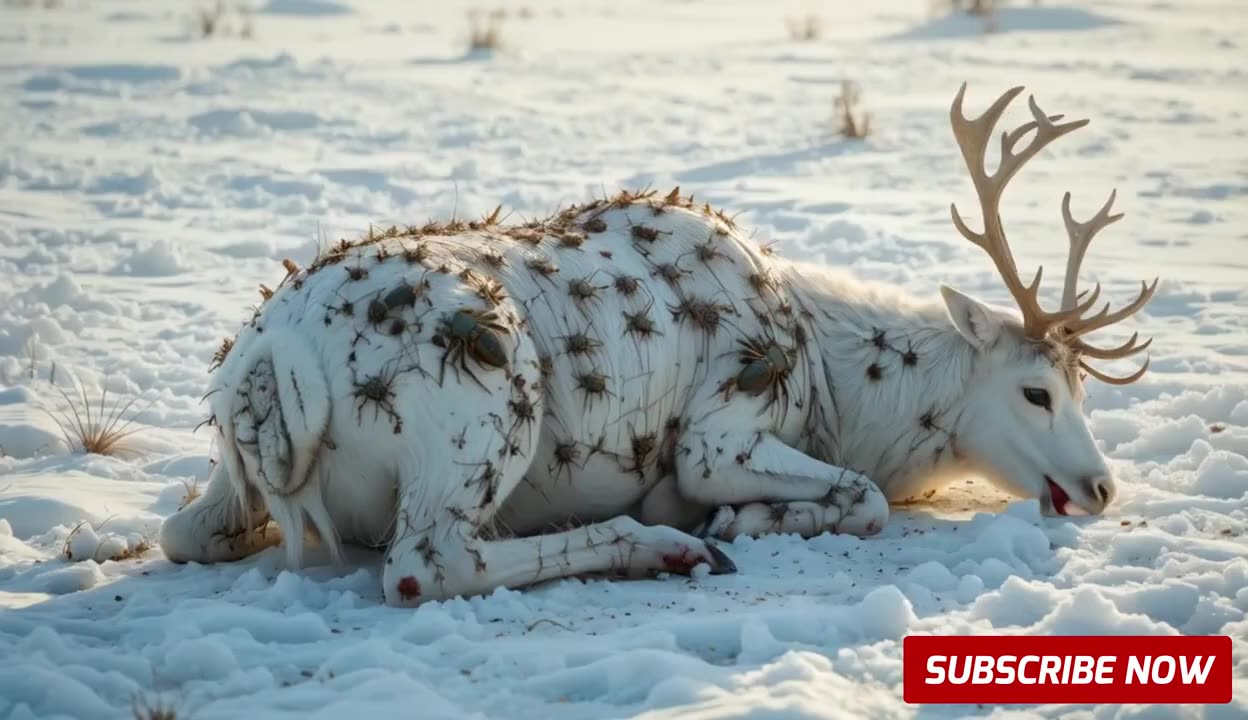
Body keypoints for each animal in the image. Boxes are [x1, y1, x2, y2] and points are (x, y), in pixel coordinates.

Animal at [159, 85, 1157, 606]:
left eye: (1084, 388)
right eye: (1036, 390)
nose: (1104, 486)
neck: (850, 389)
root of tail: (272, 361)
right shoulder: (721, 433)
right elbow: (866, 500)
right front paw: (739, 521)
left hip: (229, 478)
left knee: (184, 531)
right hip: (488, 402)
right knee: (427, 564)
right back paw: (663, 545)